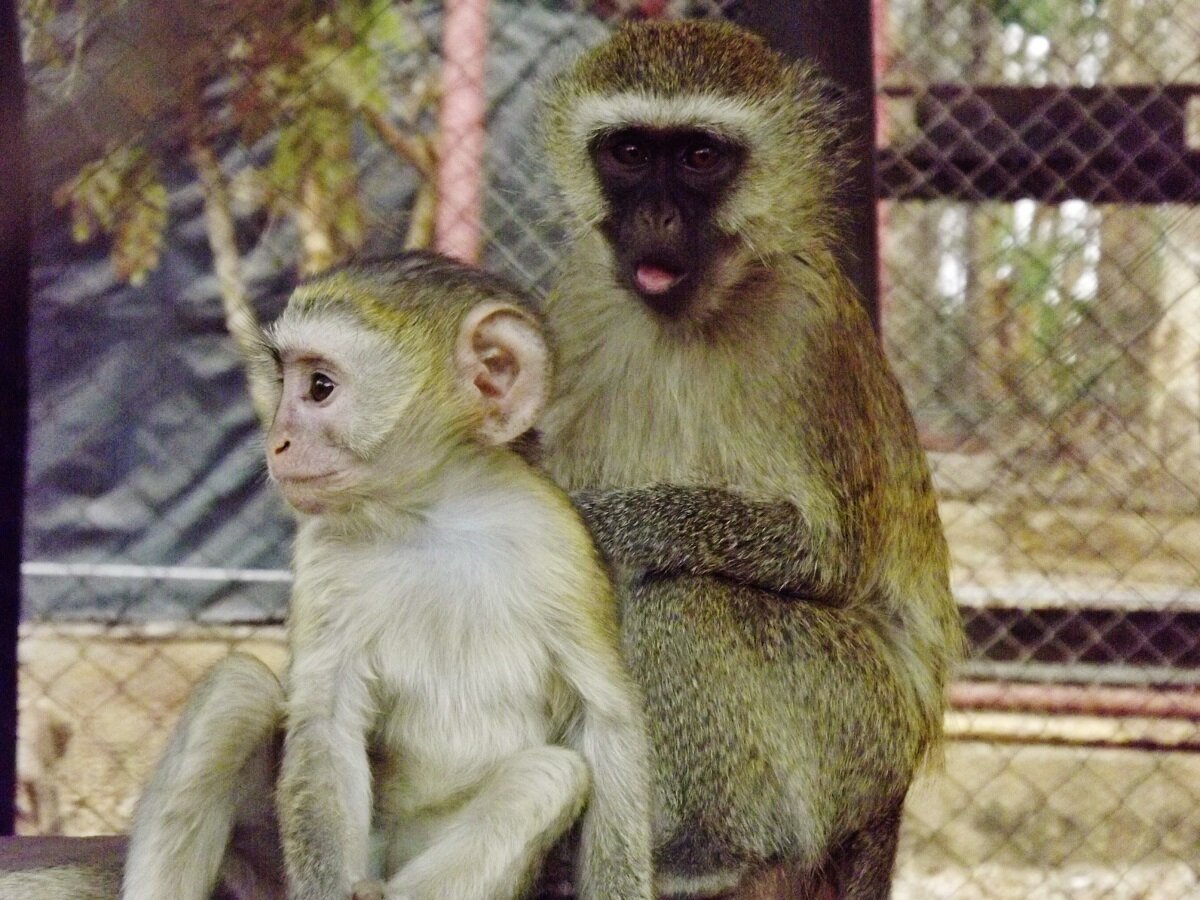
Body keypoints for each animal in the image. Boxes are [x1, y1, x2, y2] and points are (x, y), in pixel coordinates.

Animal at [115, 252, 652, 900]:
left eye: (319, 388)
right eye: (285, 383)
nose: (277, 442)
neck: (432, 518)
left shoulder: (560, 543)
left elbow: (606, 723)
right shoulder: (321, 549)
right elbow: (326, 721)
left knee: (552, 773)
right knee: (238, 688)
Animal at [536, 21, 963, 899]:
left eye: (701, 156)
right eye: (629, 150)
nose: (658, 214)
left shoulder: (808, 333)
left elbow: (830, 556)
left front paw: (604, 525)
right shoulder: (578, 299)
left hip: (857, 723)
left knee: (688, 599)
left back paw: (712, 848)